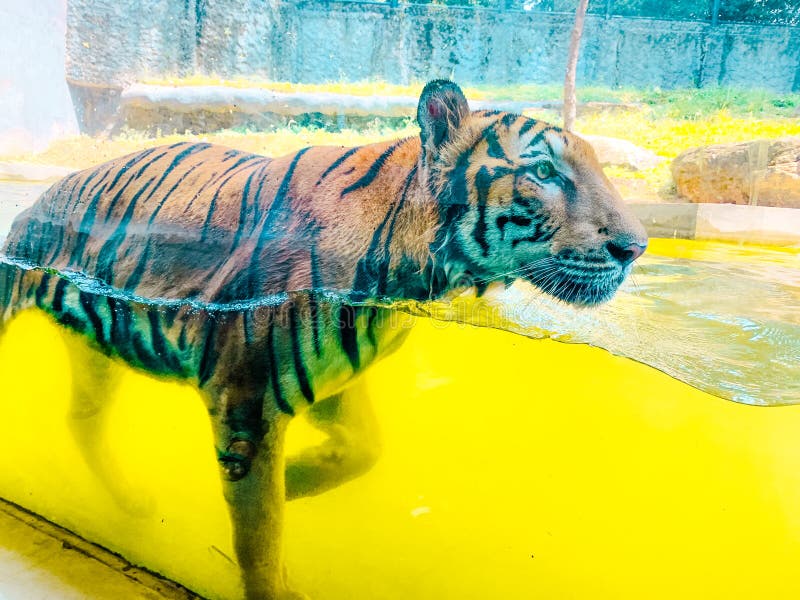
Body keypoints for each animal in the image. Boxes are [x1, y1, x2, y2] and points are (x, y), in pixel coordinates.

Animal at [0, 80, 647, 599]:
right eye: (545, 174)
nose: (635, 247)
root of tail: (34, 203)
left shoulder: (332, 379)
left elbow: (362, 450)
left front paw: (293, 480)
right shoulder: (247, 399)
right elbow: (259, 538)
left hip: (95, 353)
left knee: (82, 419)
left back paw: (133, 501)